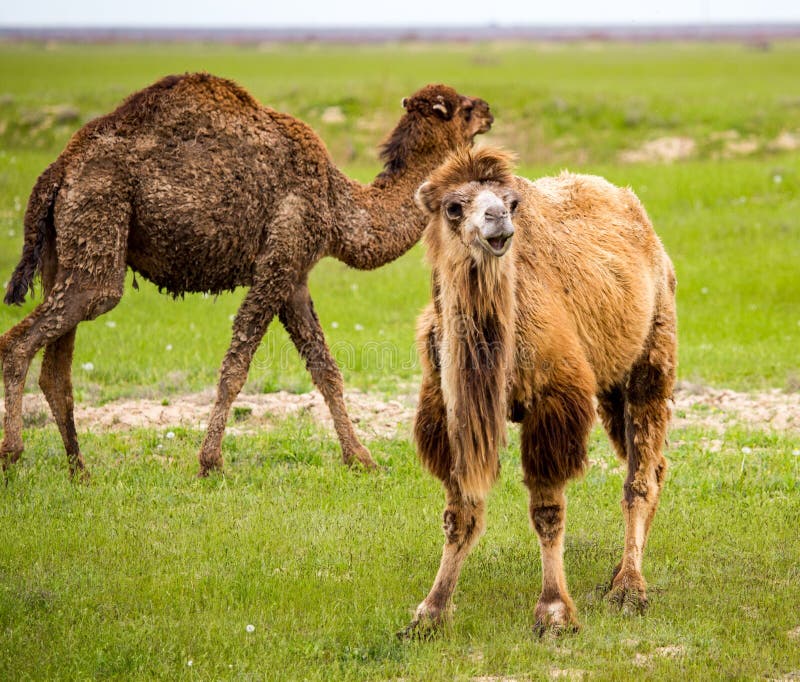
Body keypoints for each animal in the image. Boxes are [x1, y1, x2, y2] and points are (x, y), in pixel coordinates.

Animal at [0, 73, 493, 479]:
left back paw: (78, 469)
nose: (488, 108)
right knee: (21, 342)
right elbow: (237, 364)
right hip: (98, 231)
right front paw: (210, 462)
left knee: (56, 370)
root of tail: (59, 169)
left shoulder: (295, 278)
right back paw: (13, 455)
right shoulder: (279, 260)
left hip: (68, 254)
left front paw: (362, 460)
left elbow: (326, 369)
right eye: (463, 108)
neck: (340, 206)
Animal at [401, 147, 677, 637]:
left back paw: (629, 589)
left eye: (511, 203)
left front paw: (554, 612)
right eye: (453, 207)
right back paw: (621, 574)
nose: (497, 219)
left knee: (639, 476)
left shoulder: (553, 401)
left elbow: (547, 511)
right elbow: (460, 514)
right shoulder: (449, 410)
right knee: (654, 463)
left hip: (653, 350)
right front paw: (430, 612)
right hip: (609, 381)